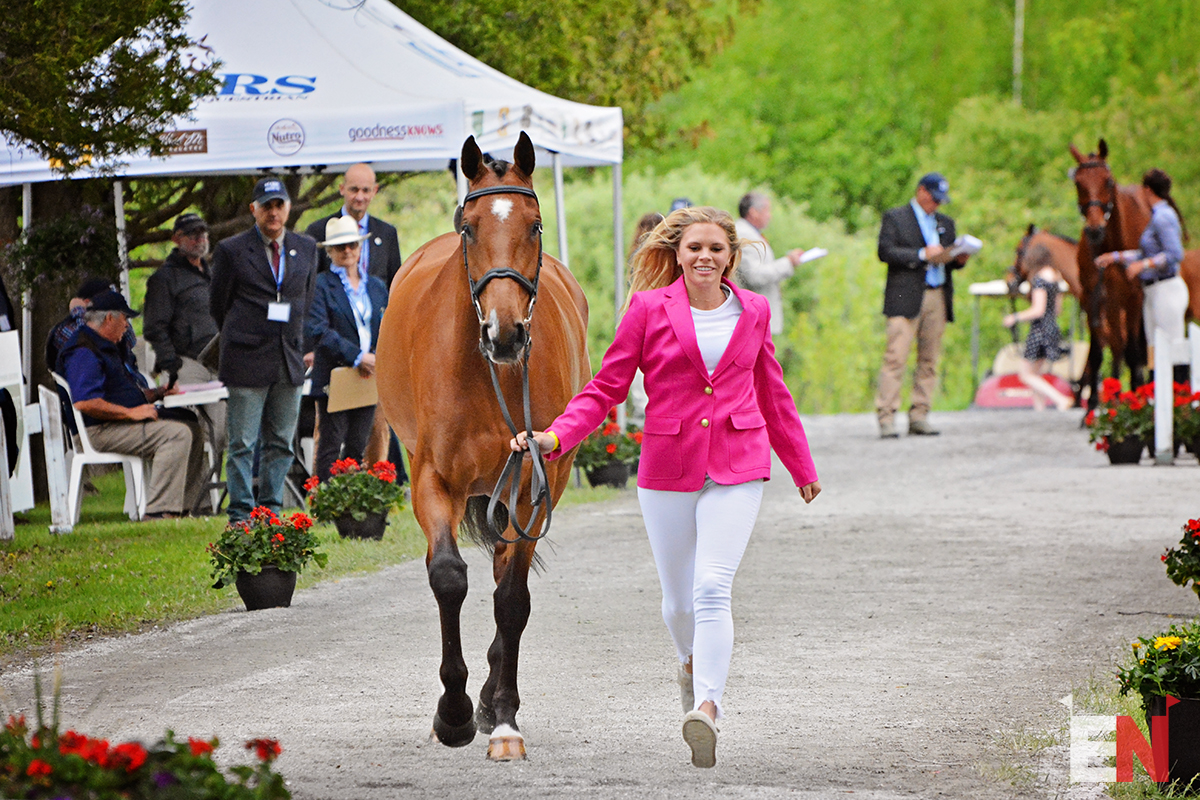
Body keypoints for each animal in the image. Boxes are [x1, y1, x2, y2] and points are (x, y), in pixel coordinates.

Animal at [375, 131, 590, 761]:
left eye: (536, 225)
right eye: (469, 227)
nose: (505, 332)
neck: (484, 371)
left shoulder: (532, 487)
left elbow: (511, 599)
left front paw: (503, 719)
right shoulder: (431, 479)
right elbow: (448, 577)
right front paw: (452, 714)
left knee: (501, 578)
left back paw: (495, 699)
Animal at [1069, 139, 1152, 405]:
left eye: (1108, 181)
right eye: (1078, 183)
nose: (1094, 229)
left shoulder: (1134, 295)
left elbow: (1133, 351)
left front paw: (1136, 394)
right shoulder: (1096, 295)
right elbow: (1101, 349)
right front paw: (1096, 403)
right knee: (1116, 344)